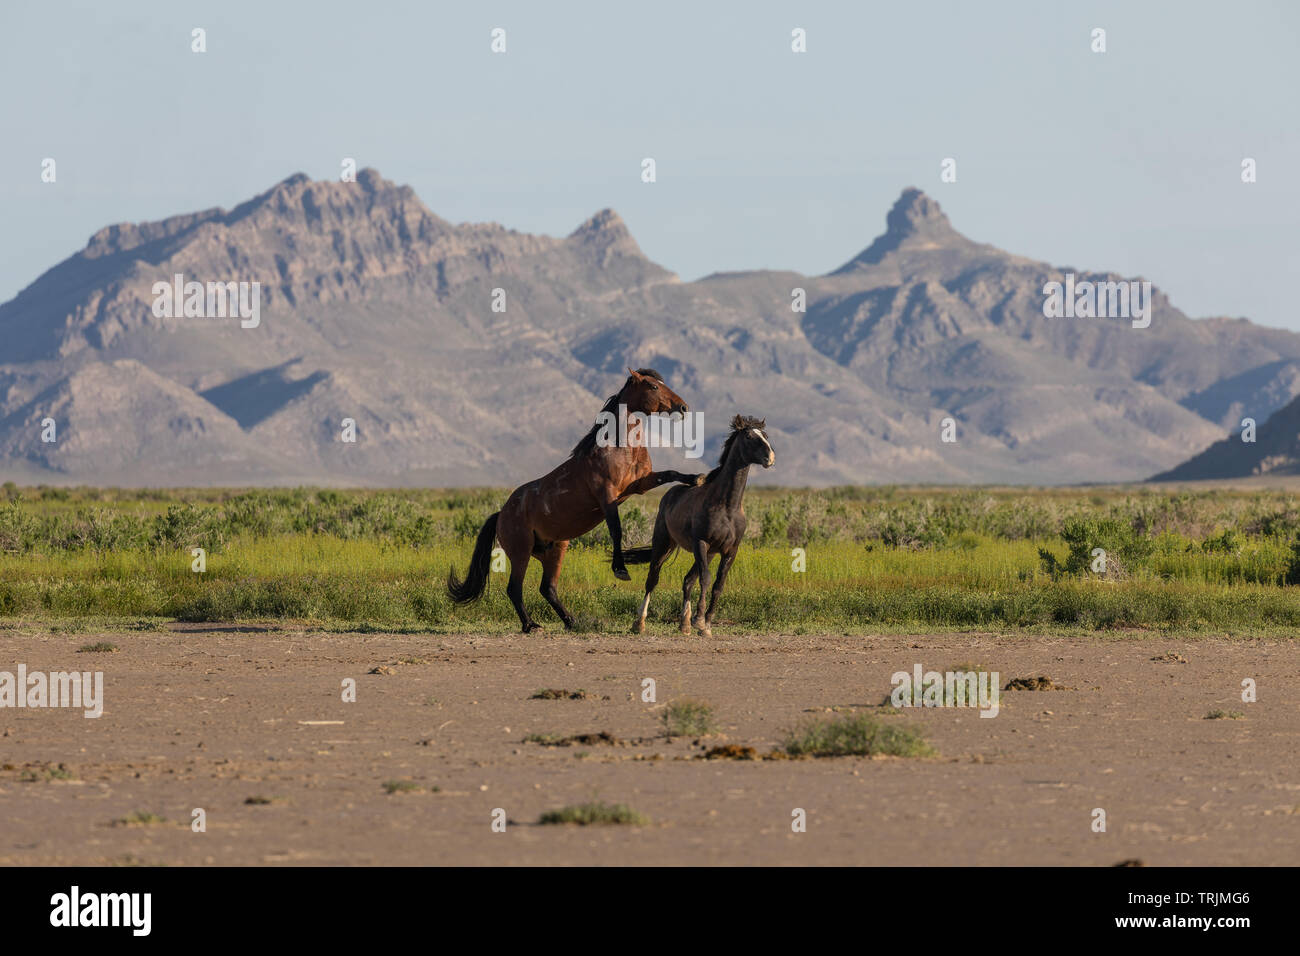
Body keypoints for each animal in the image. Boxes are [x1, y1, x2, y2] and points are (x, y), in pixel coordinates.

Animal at [447, 368, 702, 633]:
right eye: (653, 386)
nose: (683, 407)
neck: (620, 448)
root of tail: (501, 515)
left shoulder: (641, 484)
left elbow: (670, 473)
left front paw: (696, 478)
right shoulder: (607, 495)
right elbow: (617, 530)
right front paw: (620, 569)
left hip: (555, 550)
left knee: (547, 588)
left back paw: (571, 621)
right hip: (521, 552)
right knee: (514, 588)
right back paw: (531, 625)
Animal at [624, 415, 774, 637]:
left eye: (764, 435)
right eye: (748, 436)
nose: (770, 457)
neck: (727, 506)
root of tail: (670, 494)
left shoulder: (729, 551)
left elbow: (718, 585)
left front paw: (706, 624)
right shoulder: (702, 543)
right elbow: (706, 579)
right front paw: (700, 621)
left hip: (707, 553)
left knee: (687, 580)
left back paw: (684, 624)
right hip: (664, 543)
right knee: (653, 578)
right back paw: (639, 623)